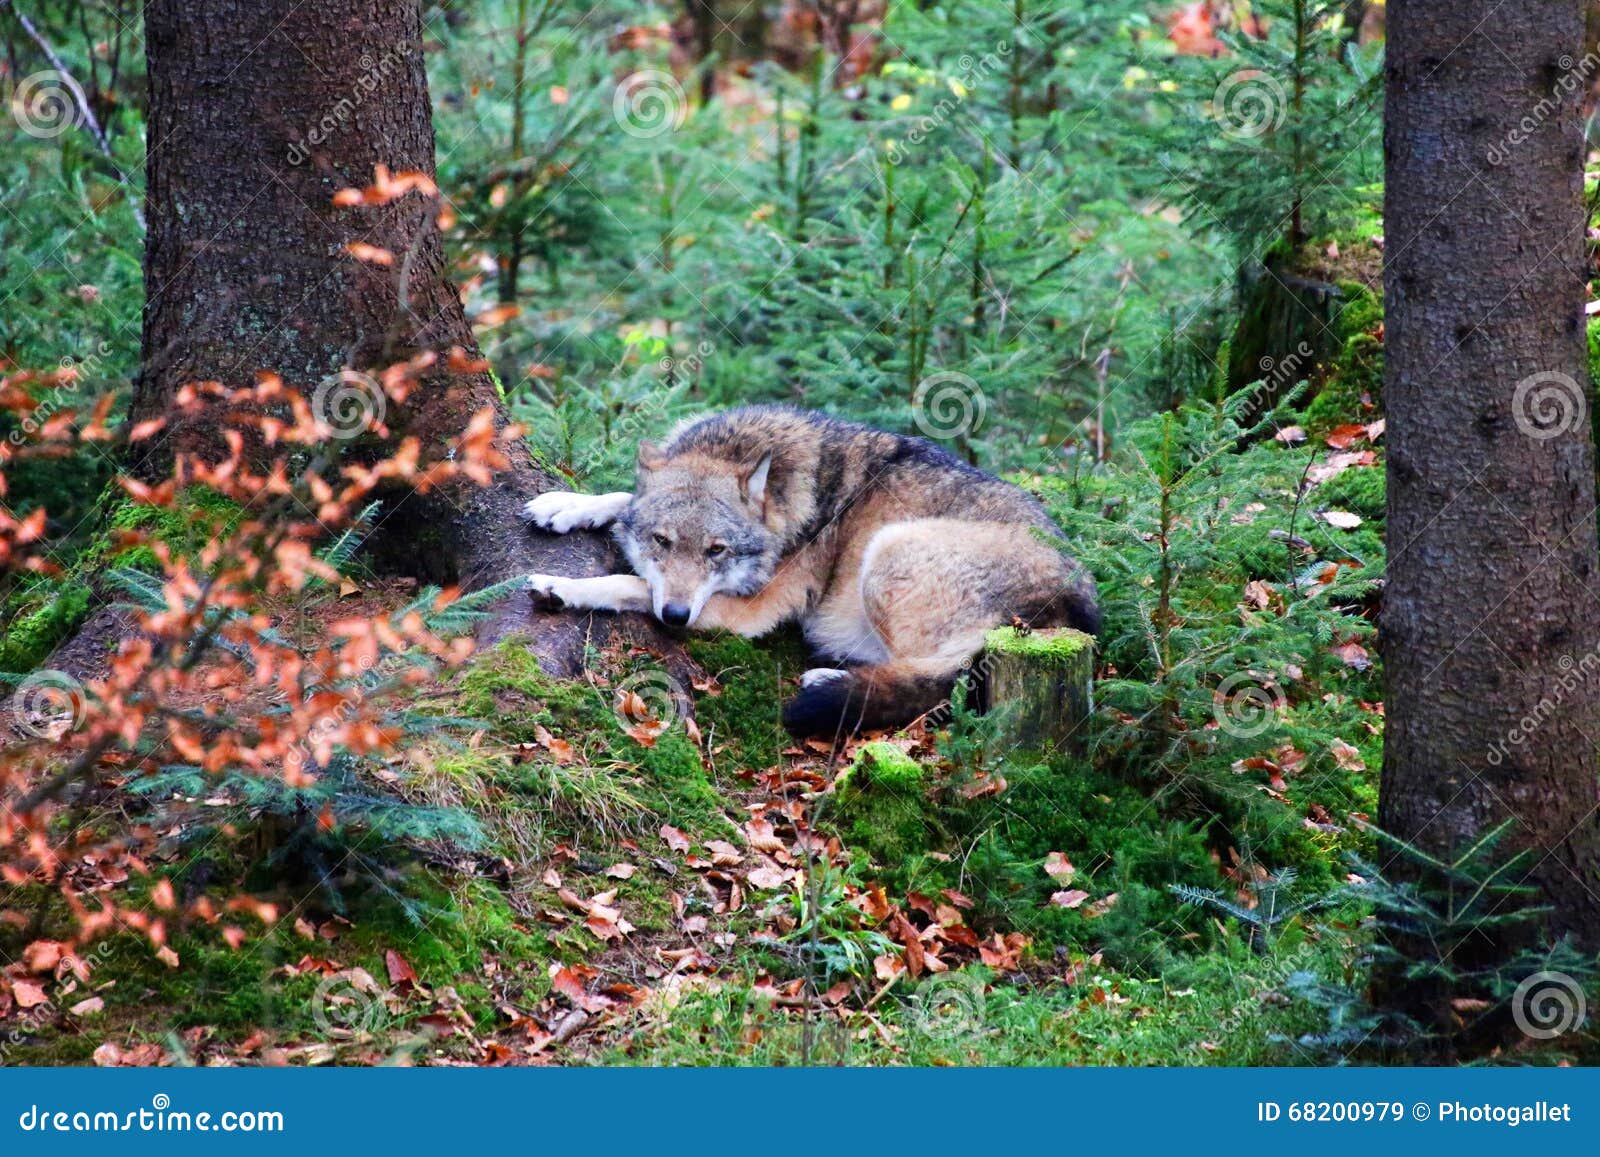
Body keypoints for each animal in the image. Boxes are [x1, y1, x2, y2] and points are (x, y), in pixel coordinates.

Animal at [522, 406, 1099, 736]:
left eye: (716, 551)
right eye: (662, 542)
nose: (678, 616)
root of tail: (1080, 614)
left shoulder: (745, 613)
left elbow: (628, 582)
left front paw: (562, 586)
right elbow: (624, 499)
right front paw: (564, 505)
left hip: (889, 550)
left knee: (934, 682)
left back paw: (827, 680)